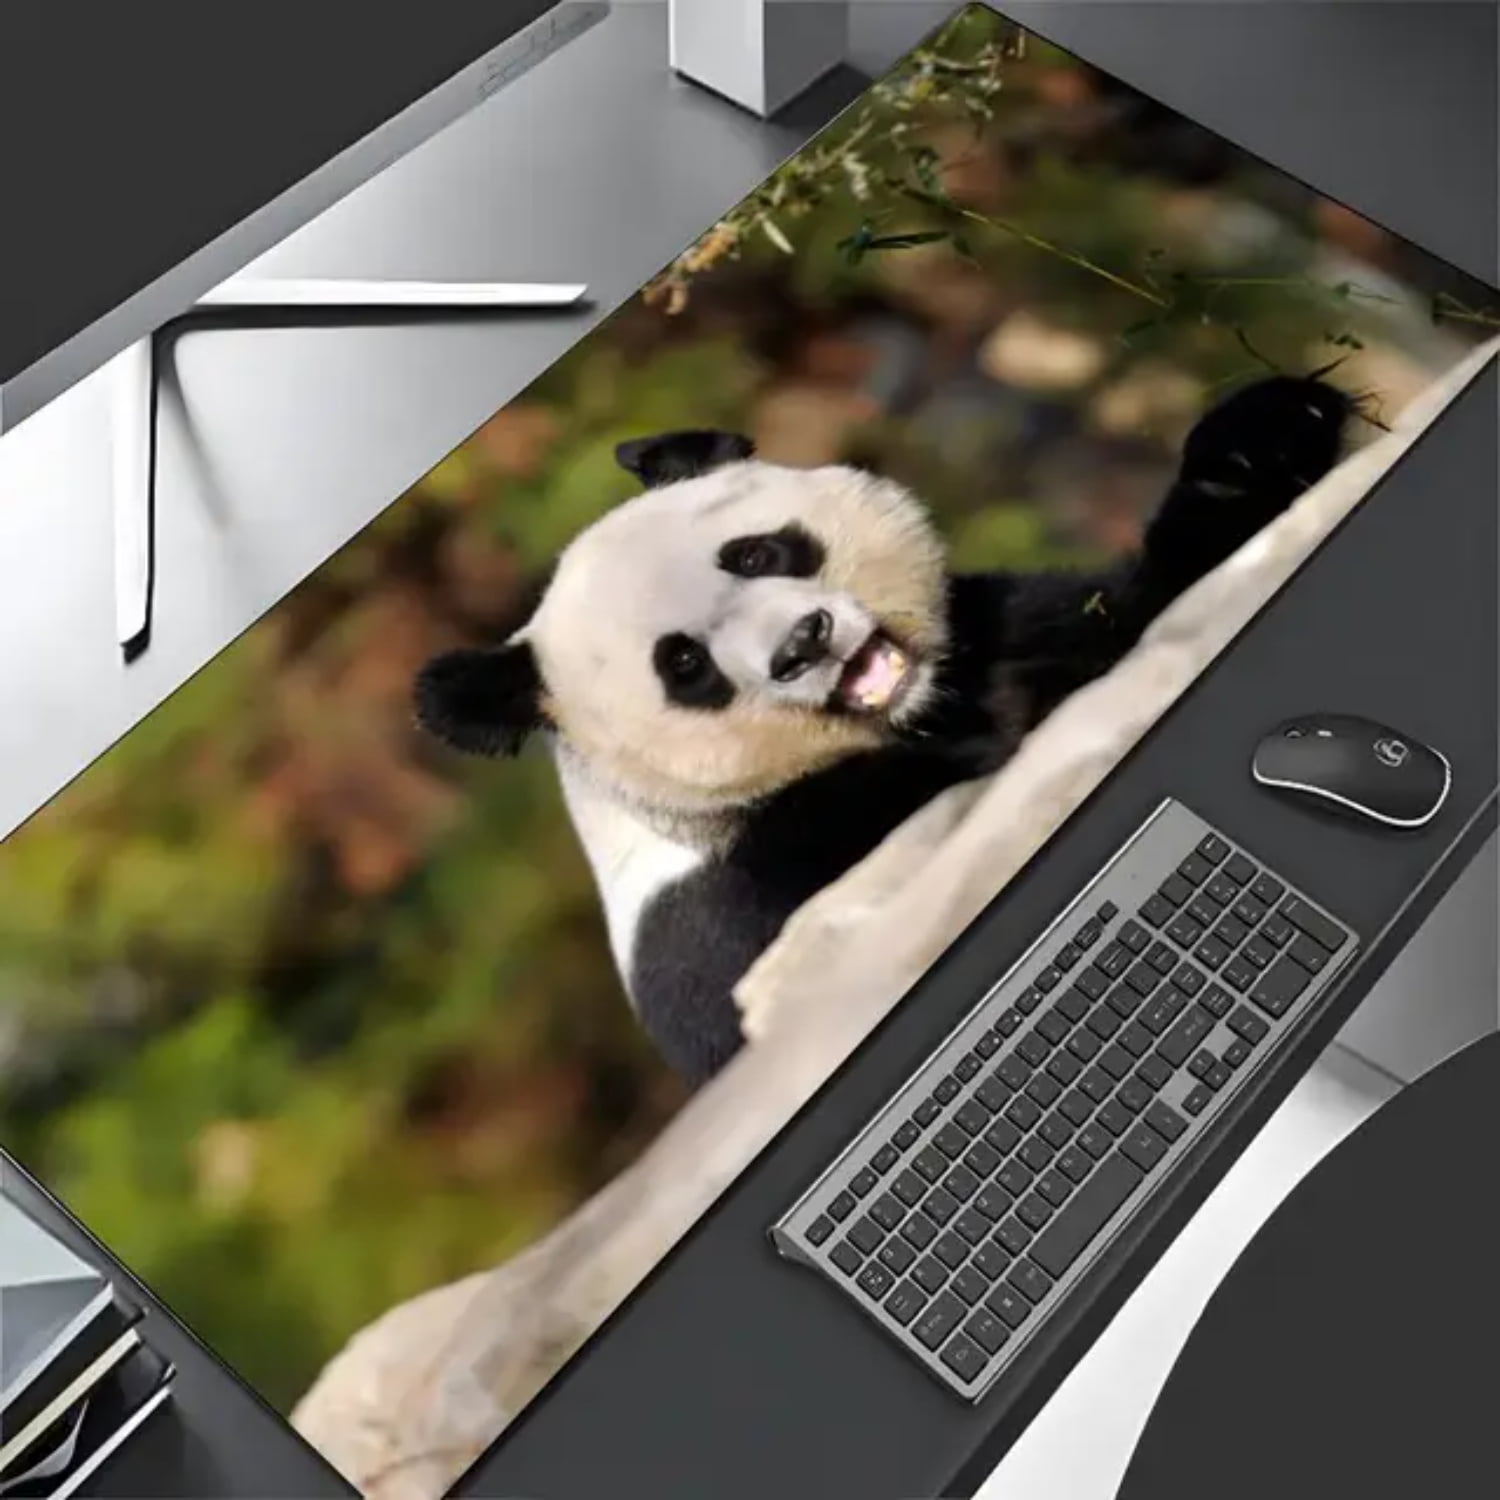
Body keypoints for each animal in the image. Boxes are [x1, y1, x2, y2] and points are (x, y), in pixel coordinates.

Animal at [414, 374, 1351, 1088]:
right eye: (684, 664)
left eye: (754, 554)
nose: (803, 644)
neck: (924, 709)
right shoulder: (739, 889)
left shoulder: (1000, 628)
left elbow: (1148, 592)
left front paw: (1267, 439)